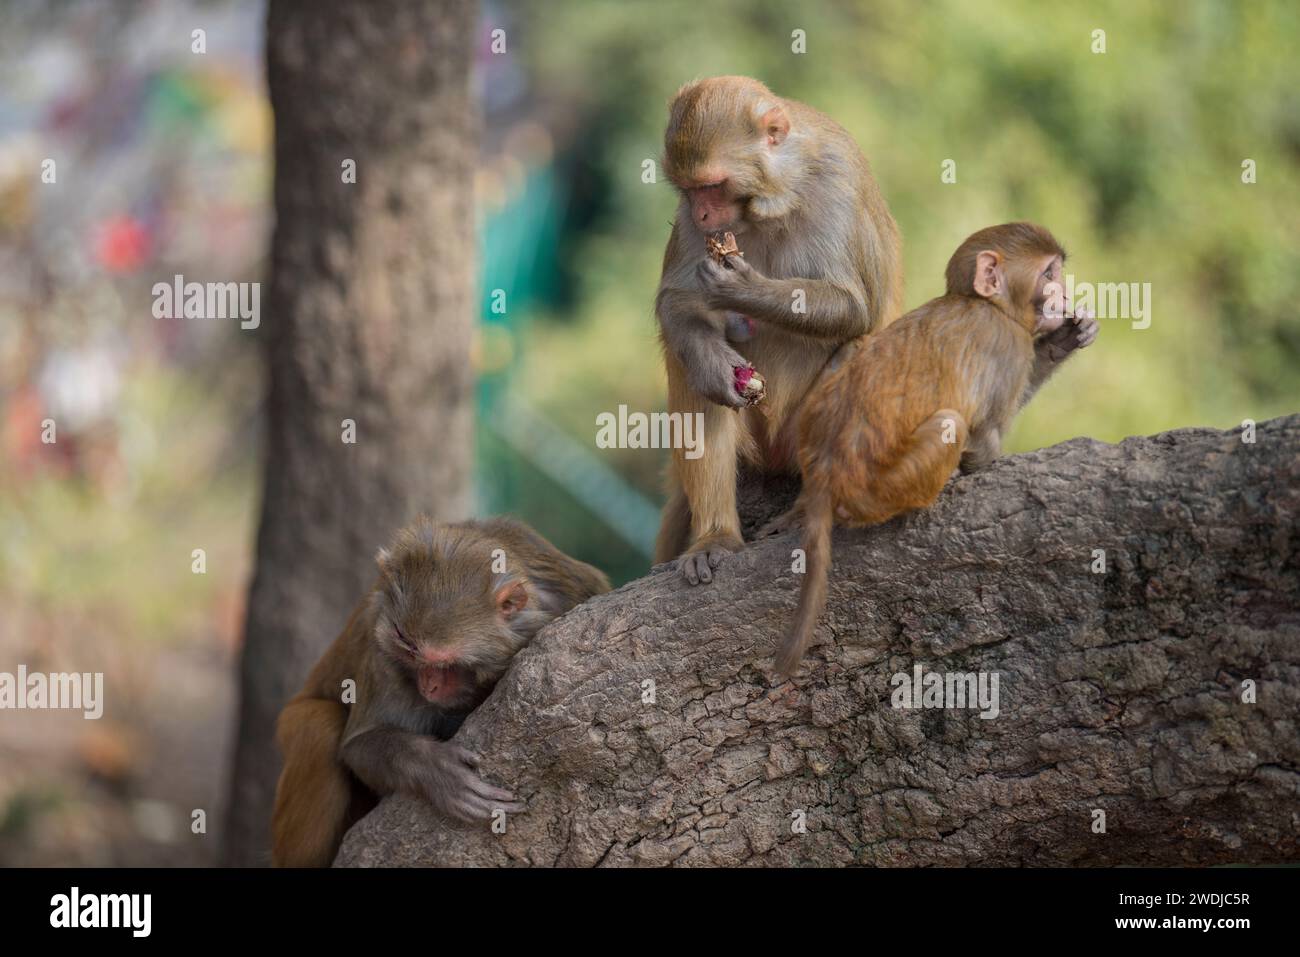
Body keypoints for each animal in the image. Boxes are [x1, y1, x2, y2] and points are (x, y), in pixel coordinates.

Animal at [270, 516, 610, 867]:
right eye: (406, 646)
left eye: (443, 662)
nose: (428, 685)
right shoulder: (381, 648)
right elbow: (359, 745)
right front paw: (437, 771)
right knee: (319, 726)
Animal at [653, 75, 904, 586]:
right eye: (689, 191)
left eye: (714, 186)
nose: (703, 217)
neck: (774, 197)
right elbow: (676, 302)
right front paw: (713, 364)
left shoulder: (836, 180)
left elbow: (855, 307)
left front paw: (740, 286)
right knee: (688, 365)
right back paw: (715, 537)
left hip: (796, 439)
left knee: (862, 347)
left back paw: (806, 510)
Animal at [772, 222, 1099, 675]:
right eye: (1049, 274)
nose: (1064, 294)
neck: (989, 305)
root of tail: (824, 474)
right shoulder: (1008, 345)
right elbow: (985, 434)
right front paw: (981, 463)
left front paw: (1064, 340)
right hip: (877, 491)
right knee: (950, 424)